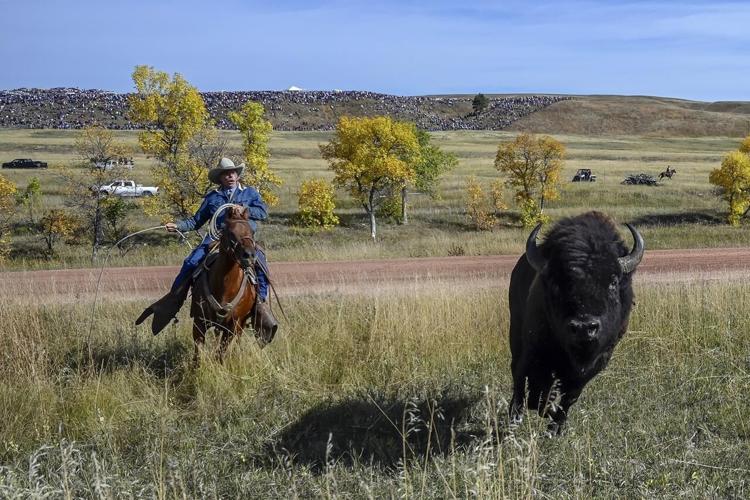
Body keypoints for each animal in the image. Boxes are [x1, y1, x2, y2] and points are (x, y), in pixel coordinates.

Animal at [508, 211, 644, 434]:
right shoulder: (533, 351)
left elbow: (570, 394)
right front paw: (521, 416)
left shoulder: (595, 362)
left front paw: (555, 427)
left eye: (613, 281)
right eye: (556, 282)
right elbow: (526, 383)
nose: (584, 328)